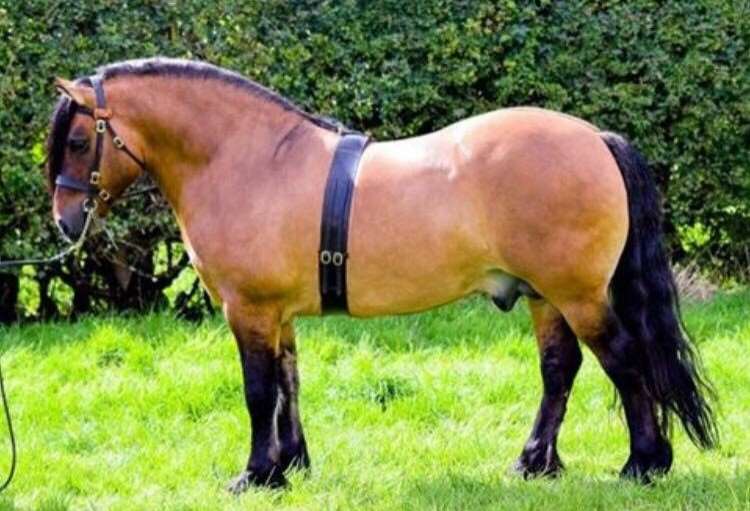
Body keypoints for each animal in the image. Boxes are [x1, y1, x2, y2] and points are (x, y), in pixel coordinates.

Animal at [46, 58, 717, 491]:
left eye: (79, 141)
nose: (63, 220)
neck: (253, 160)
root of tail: (594, 138)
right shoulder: (278, 314)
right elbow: (289, 384)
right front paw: (289, 467)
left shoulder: (250, 309)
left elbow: (259, 390)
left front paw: (256, 474)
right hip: (544, 296)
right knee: (560, 369)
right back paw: (534, 464)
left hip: (577, 295)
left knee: (624, 362)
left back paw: (644, 464)